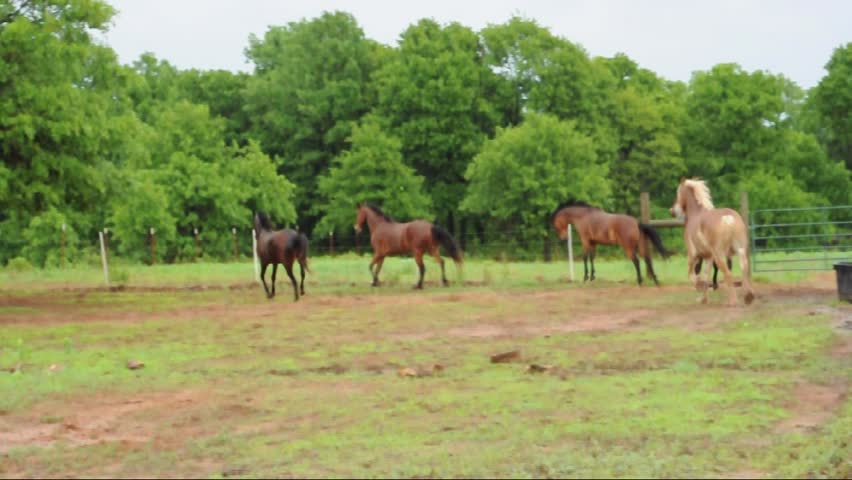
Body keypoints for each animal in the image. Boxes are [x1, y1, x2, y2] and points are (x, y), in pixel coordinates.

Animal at [670, 178, 755, 306]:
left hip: (719, 255)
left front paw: (698, 286)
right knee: (743, 270)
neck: (696, 214)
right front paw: (703, 299)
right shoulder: (708, 257)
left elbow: (692, 275)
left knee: (728, 274)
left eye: (677, 192)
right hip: (740, 251)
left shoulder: (693, 255)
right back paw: (748, 297)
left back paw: (733, 301)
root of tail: (728, 219)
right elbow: (706, 276)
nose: (672, 211)